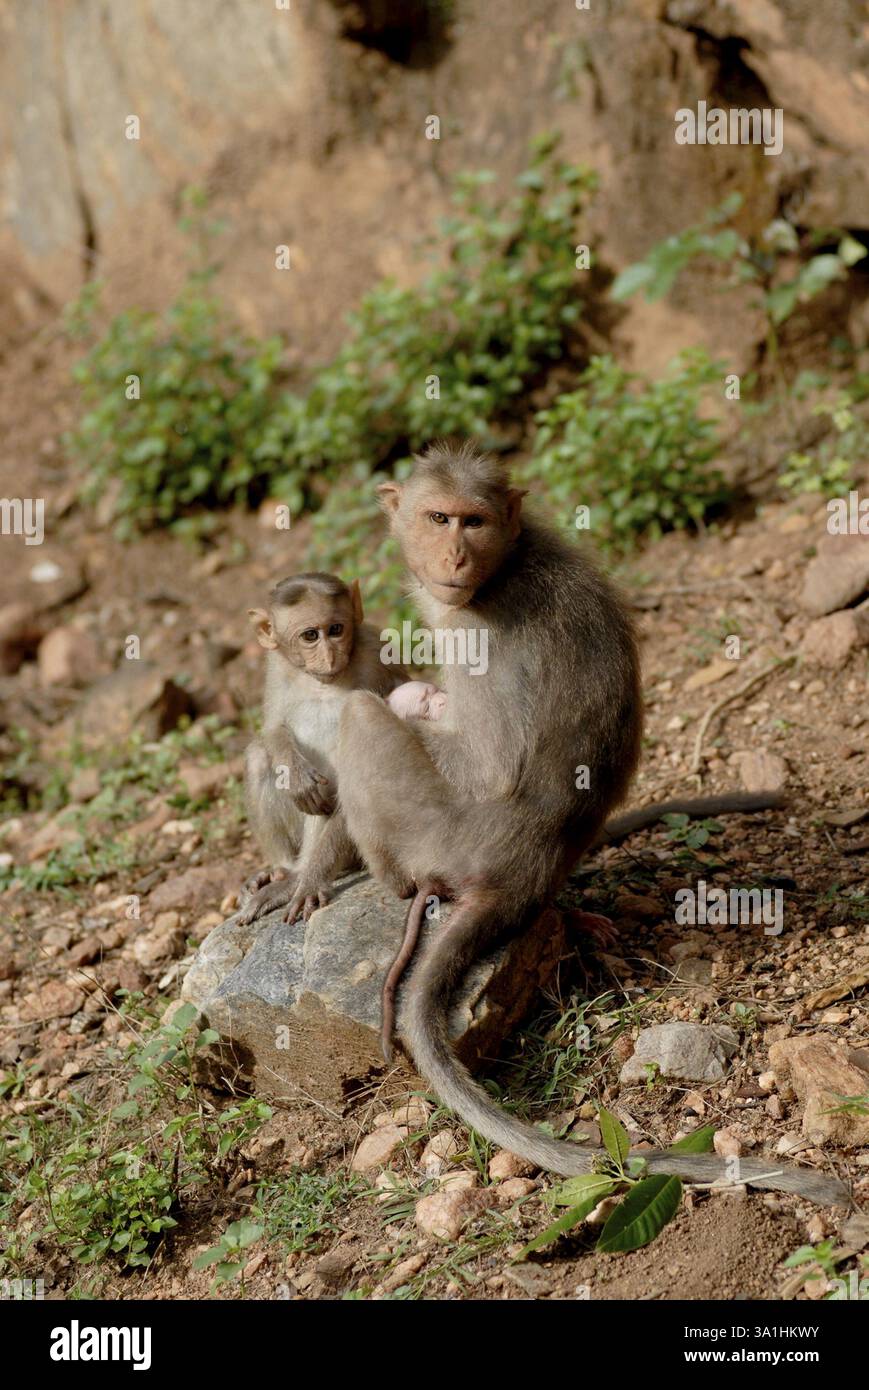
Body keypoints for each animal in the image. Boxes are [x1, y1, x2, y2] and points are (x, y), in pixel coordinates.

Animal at [239, 572, 406, 926]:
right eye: (310, 636)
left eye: (336, 629)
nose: (329, 656)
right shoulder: (277, 666)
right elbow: (273, 726)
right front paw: (297, 774)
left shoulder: (375, 649)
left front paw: (311, 882)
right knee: (259, 756)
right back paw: (282, 870)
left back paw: (298, 879)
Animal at [333, 443, 845, 1205]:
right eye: (436, 518)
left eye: (472, 521)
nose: (454, 556)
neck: (506, 561)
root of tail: (521, 876)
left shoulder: (474, 628)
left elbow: (485, 764)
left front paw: (412, 697)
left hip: (434, 833)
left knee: (360, 717)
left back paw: (393, 880)